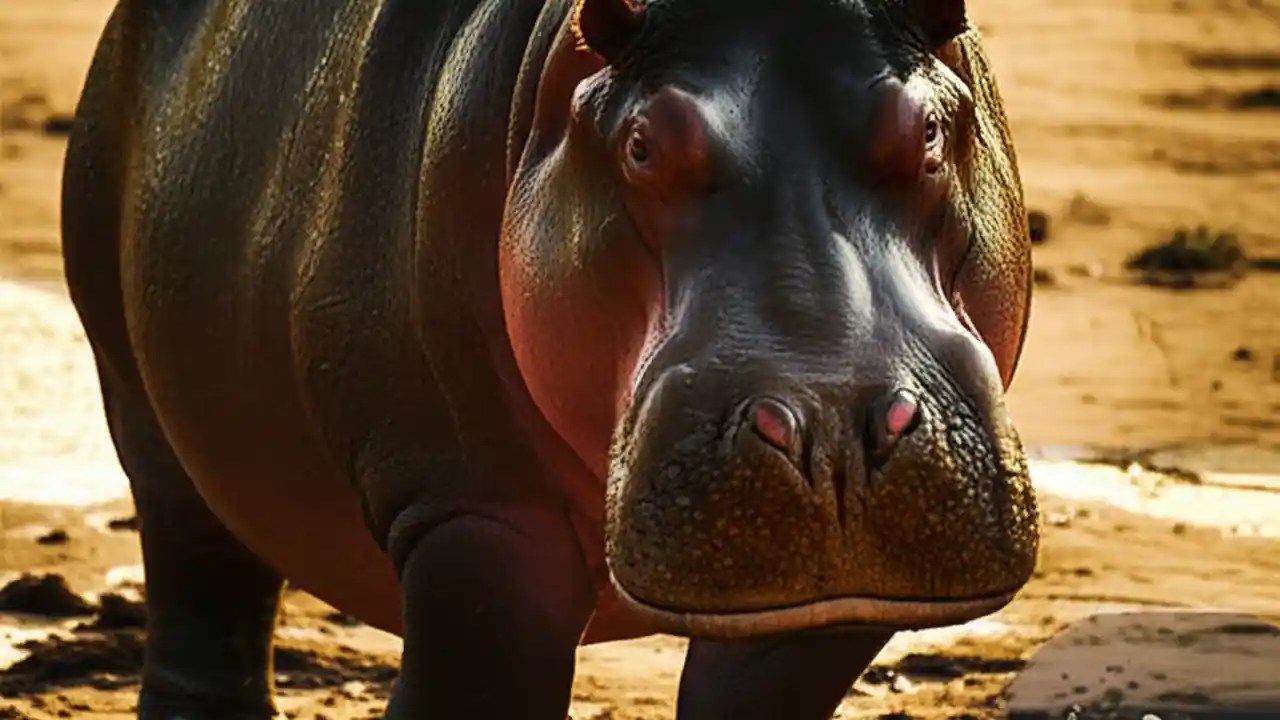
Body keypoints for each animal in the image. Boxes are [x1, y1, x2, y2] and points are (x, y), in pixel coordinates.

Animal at [60, 0, 1037, 716]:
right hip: (144, 411)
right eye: (642, 142)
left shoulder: (839, 603)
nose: (831, 427)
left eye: (930, 129)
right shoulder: (478, 519)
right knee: (201, 587)